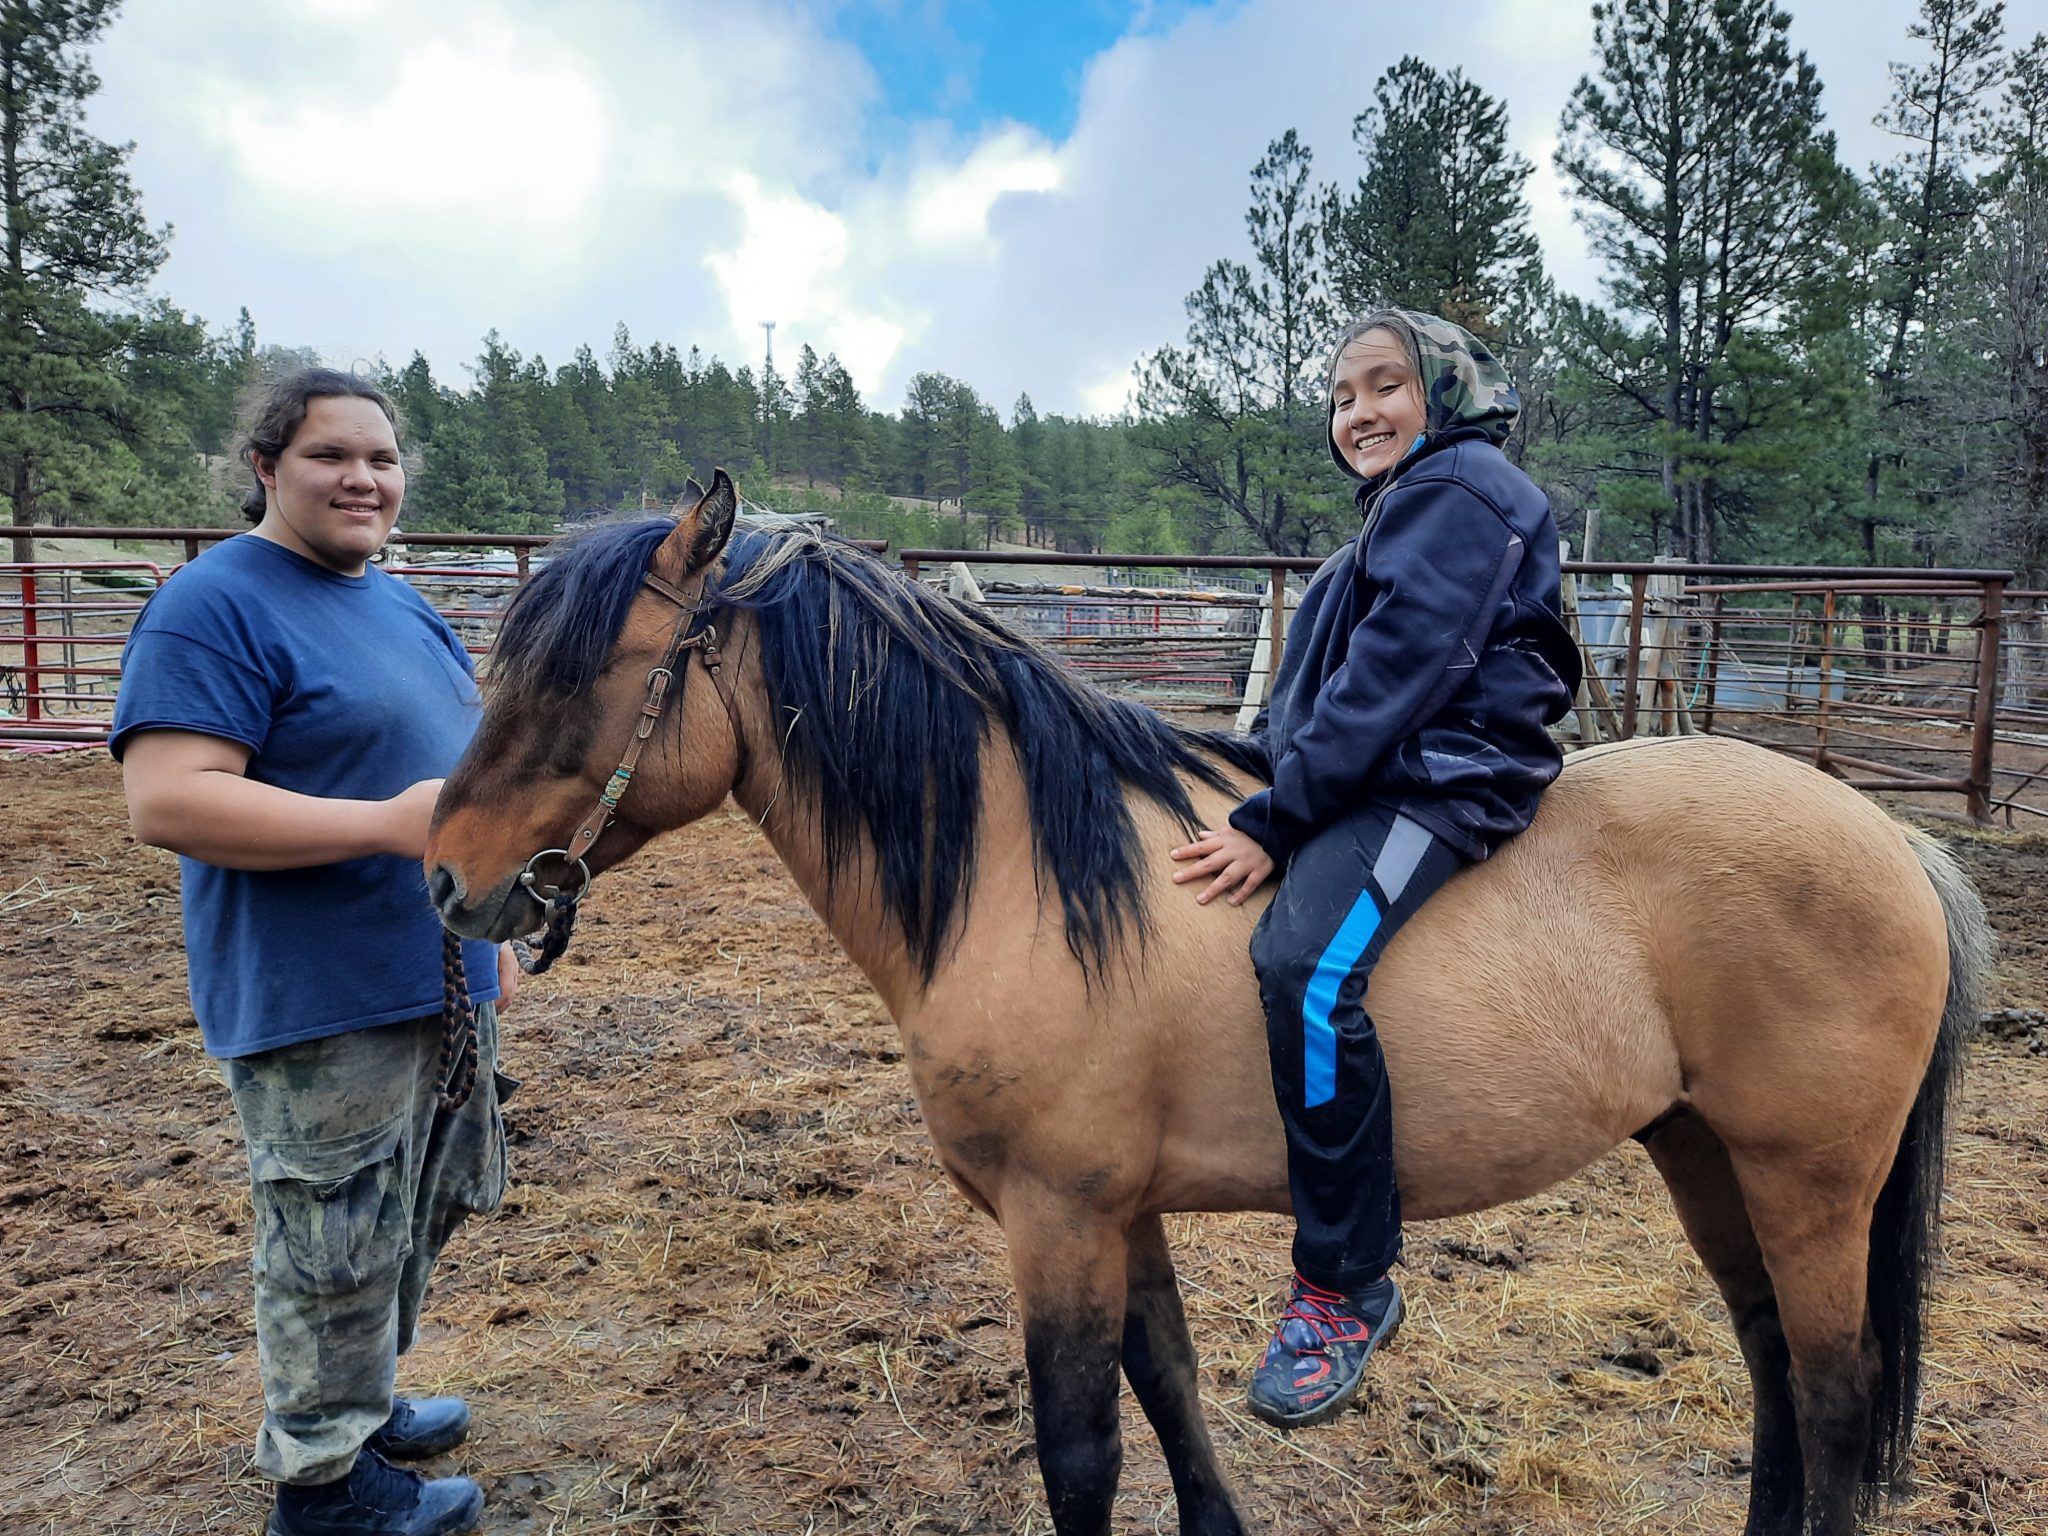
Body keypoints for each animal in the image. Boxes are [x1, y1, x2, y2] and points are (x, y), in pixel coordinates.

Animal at [425, 471, 1989, 1536]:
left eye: (580, 677)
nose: (447, 883)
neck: (1027, 878)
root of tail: (1893, 842)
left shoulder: (1057, 1221)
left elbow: (1081, 1451)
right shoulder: (1119, 1216)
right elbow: (1168, 1391)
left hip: (1807, 1180)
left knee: (1834, 1396)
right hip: (1705, 1156)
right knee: (1773, 1365)